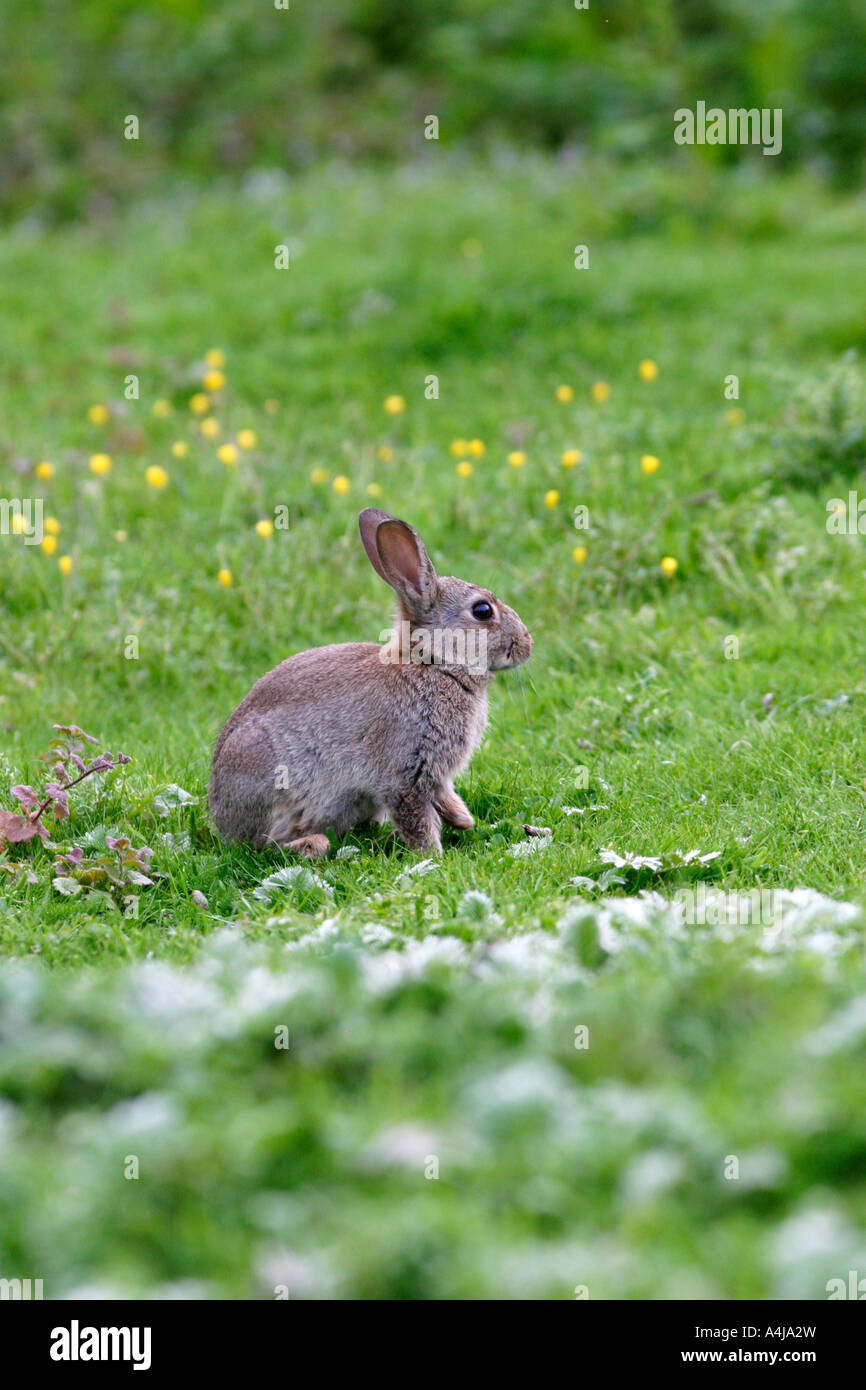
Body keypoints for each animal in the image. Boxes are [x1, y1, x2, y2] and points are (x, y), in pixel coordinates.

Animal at [209, 508, 532, 857]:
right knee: (263, 846)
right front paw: (434, 857)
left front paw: (463, 820)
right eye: (482, 610)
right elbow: (417, 820)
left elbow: (443, 797)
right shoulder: (404, 774)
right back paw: (312, 843)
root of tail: (220, 818)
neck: (432, 662)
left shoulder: (434, 775)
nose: (527, 644)